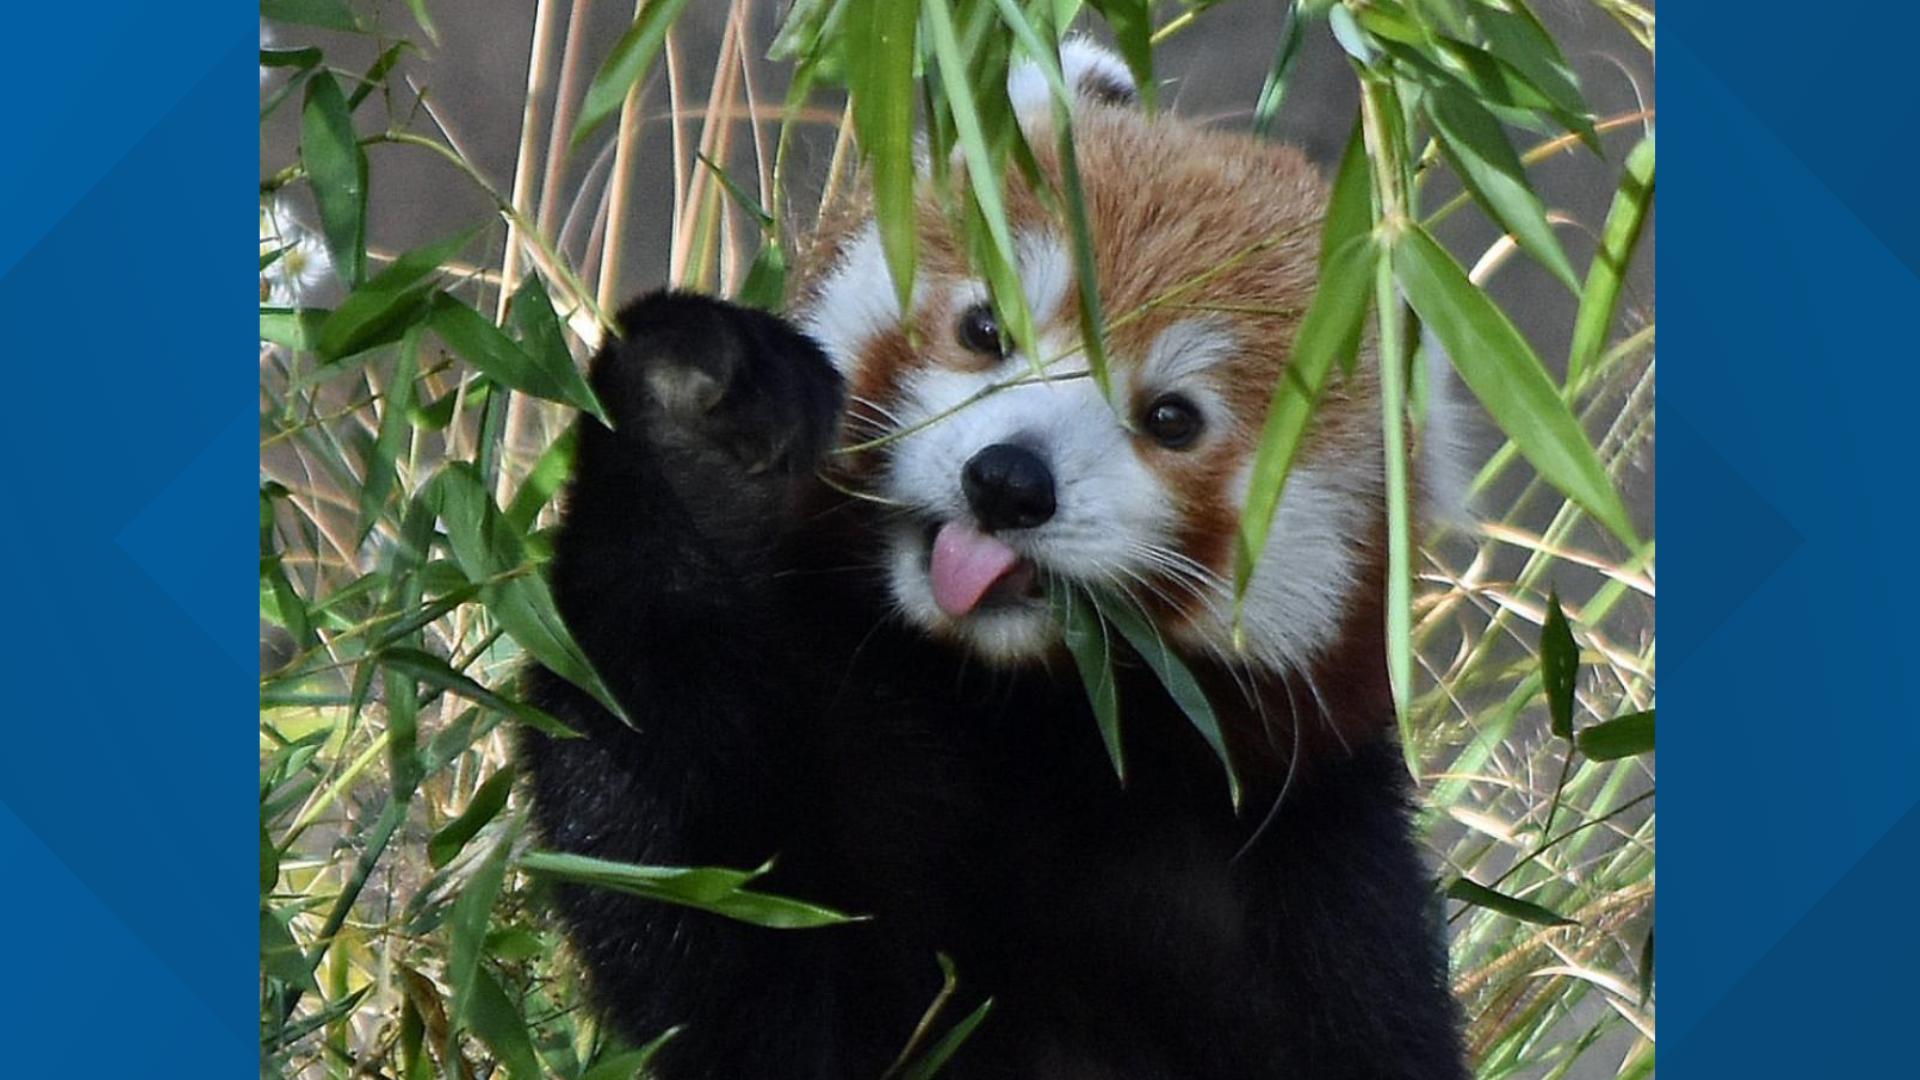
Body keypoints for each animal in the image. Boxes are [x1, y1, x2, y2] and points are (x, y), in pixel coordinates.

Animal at [519, 40, 1469, 1080]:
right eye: (985, 329)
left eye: (1172, 417)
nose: (1008, 482)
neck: (1009, 711)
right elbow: (695, 886)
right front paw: (695, 419)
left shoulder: (1311, 868)